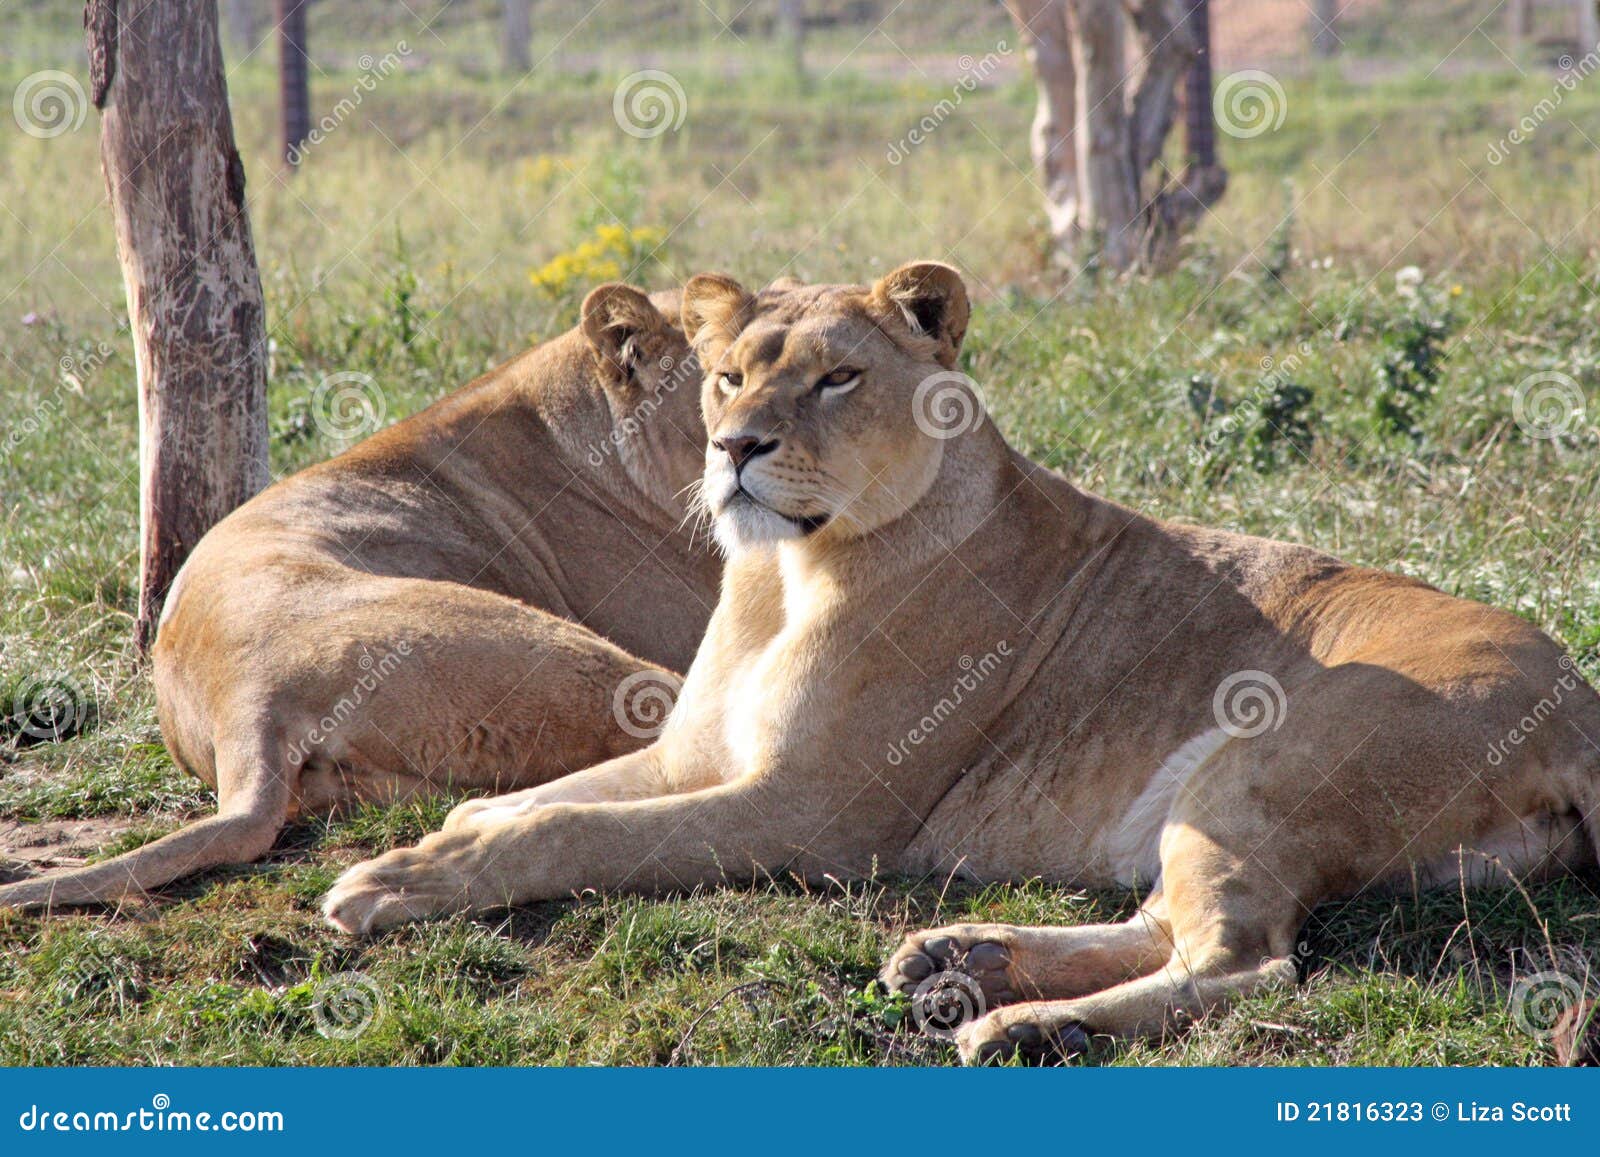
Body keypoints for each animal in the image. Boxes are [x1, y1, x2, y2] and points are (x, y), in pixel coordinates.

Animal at [320, 262, 1600, 1064]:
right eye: (727, 377)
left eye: (835, 377)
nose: (735, 447)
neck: (781, 576)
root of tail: (1580, 704)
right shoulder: (695, 754)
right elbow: (522, 801)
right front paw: (432, 844)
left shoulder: (811, 813)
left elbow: (569, 829)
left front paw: (396, 880)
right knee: (1169, 922)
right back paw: (959, 960)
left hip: (1264, 758)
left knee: (1247, 962)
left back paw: (1024, 1025)